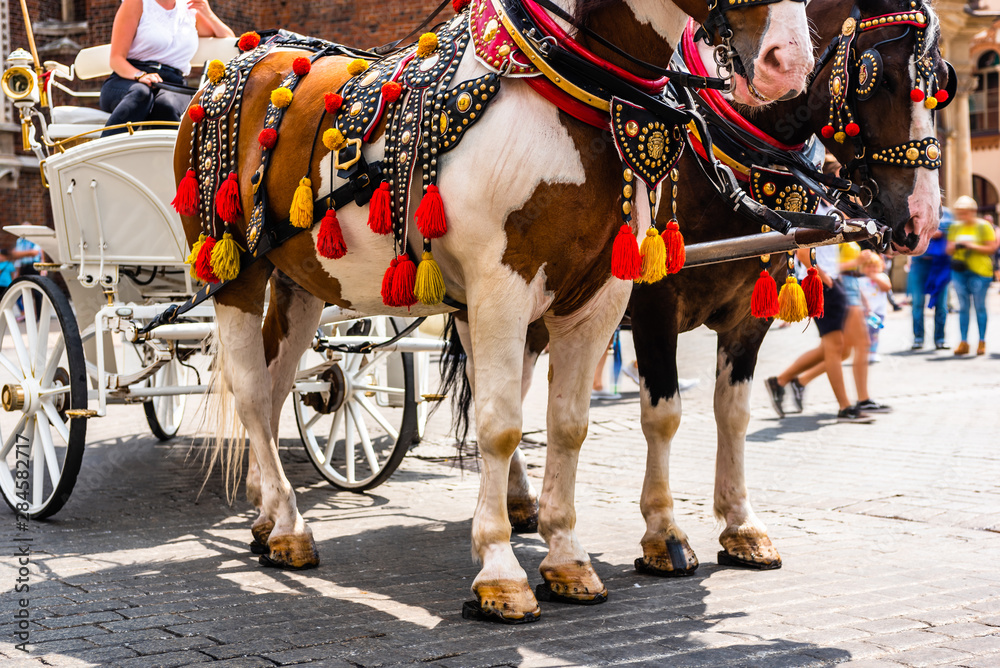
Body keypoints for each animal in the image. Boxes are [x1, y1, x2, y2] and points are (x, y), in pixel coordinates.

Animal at [175, 0, 814, 623]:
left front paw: (568, 561)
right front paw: (503, 574)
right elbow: (503, 425)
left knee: (276, 388)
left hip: (301, 278)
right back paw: (289, 526)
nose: (788, 62)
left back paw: (266, 519)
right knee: (251, 393)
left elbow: (568, 425)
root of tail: (240, 56)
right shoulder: (510, 286)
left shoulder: (602, 300)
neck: (572, 90)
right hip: (233, 271)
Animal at [494, 0, 949, 577]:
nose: (923, 220)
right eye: (879, 77)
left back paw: (519, 501)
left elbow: (734, 413)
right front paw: (663, 533)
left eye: (940, 83)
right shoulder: (654, 302)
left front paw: (742, 526)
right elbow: (663, 414)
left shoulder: (751, 313)